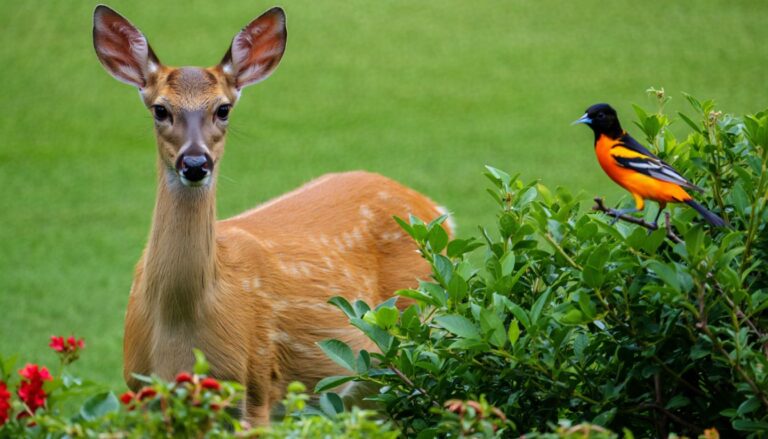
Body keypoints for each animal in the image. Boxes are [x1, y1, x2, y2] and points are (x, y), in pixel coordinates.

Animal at [92, 5, 451, 423]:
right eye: (160, 109)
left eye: (223, 109)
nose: (195, 163)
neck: (178, 332)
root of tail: (436, 209)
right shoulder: (138, 389)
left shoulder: (255, 384)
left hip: (419, 332)